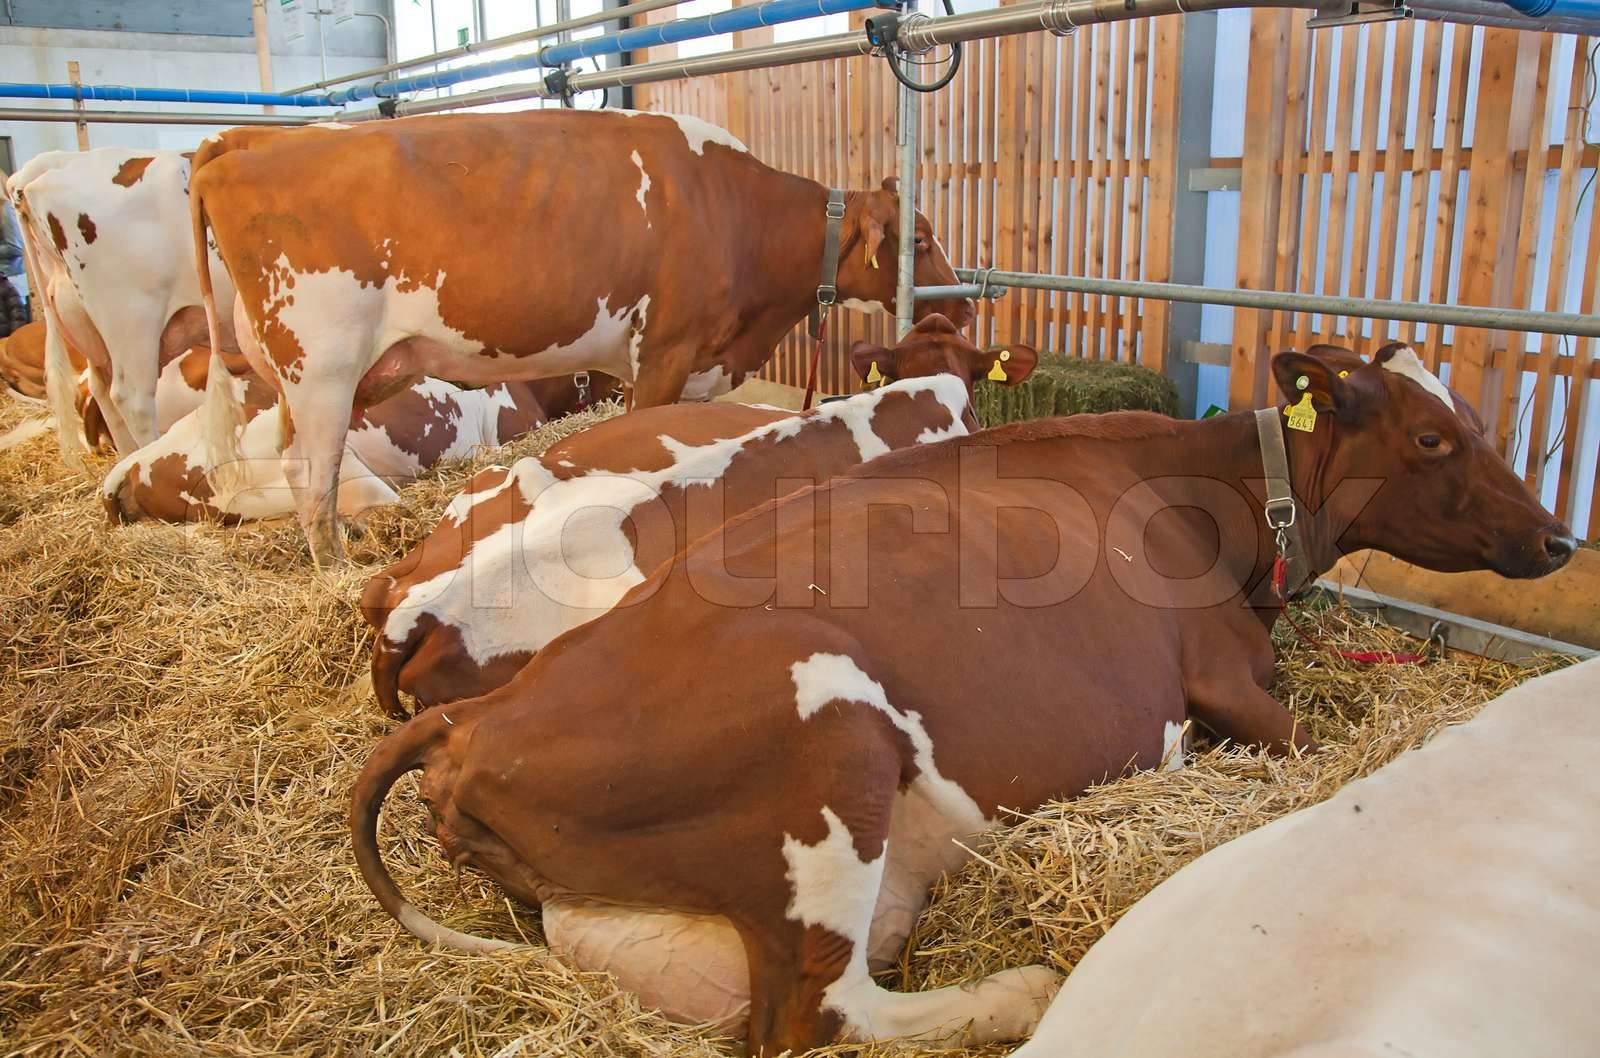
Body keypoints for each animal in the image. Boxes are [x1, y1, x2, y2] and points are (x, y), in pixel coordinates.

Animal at [188, 109, 976, 565]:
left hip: (303, 379)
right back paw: (337, 569)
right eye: (921, 238)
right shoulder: (664, 350)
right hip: (322, 369)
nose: (964, 307)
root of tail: (243, 140)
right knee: (311, 478)